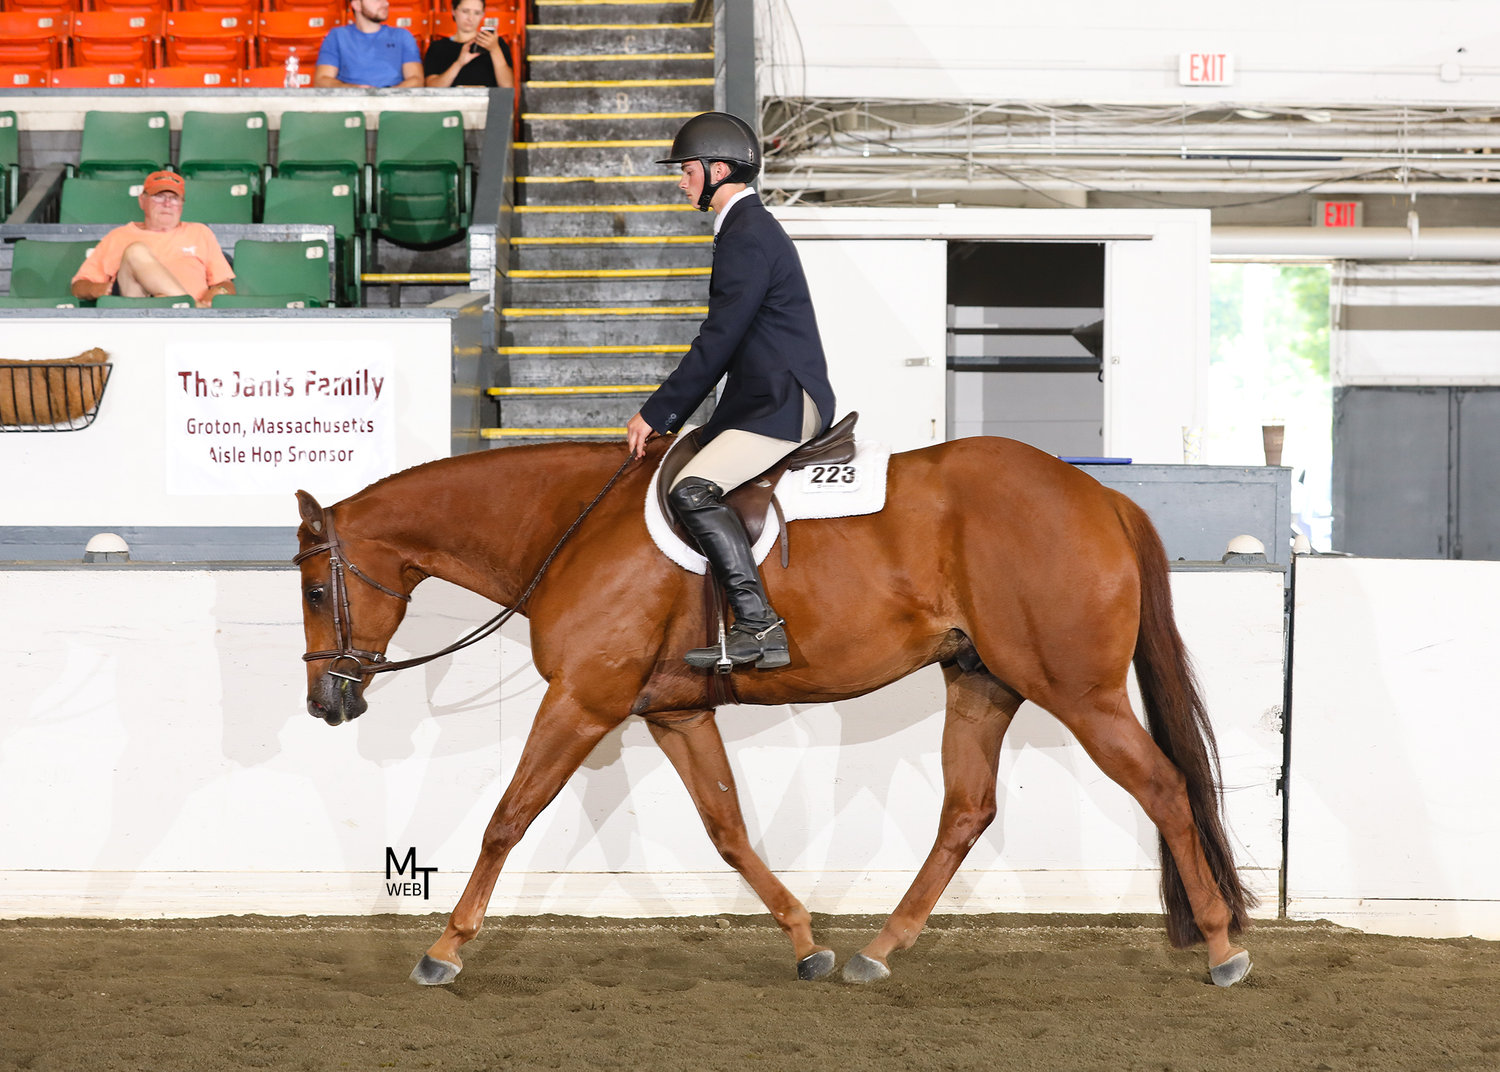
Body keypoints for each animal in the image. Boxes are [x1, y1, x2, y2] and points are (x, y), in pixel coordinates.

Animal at [292, 433, 1256, 988]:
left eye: (313, 590)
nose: (323, 703)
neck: (569, 526)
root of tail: (1100, 495)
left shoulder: (582, 700)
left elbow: (507, 818)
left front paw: (445, 950)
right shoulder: (675, 714)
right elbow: (727, 829)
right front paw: (804, 941)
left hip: (1078, 693)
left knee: (1165, 790)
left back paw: (1222, 949)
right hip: (982, 680)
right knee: (967, 811)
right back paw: (877, 950)